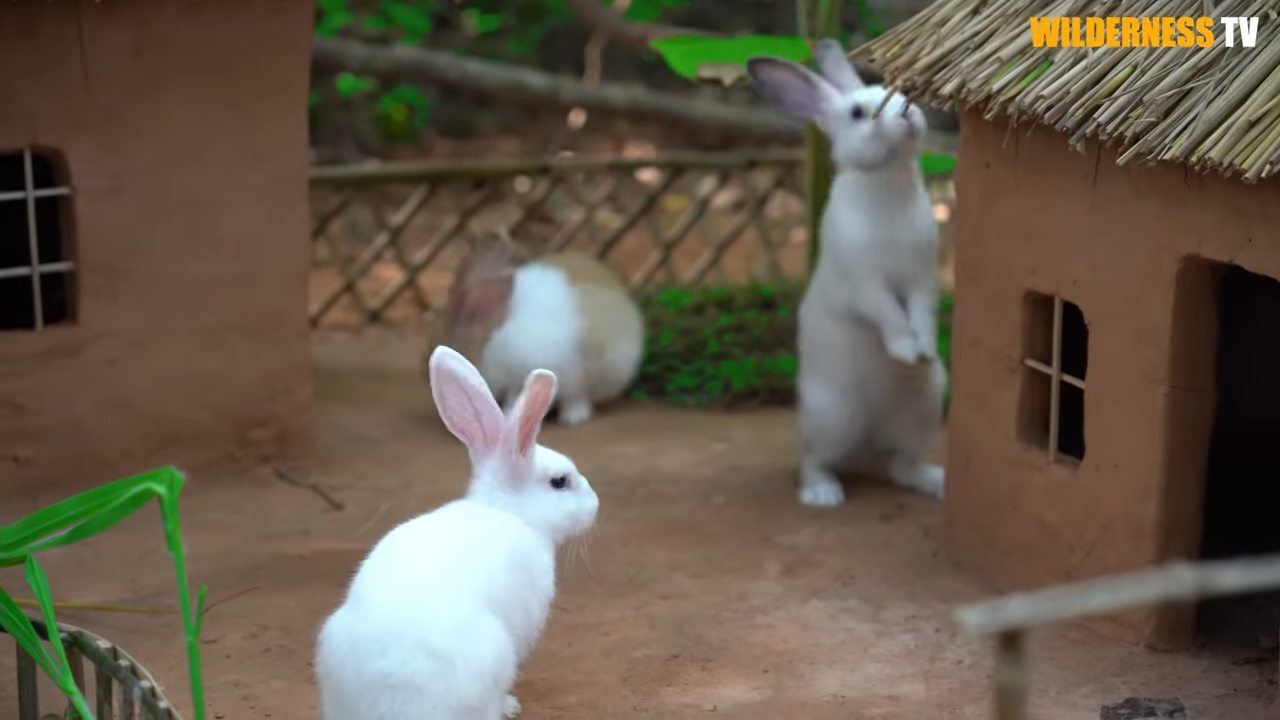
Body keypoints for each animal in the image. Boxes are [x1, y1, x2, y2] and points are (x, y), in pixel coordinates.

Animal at [746, 38, 946, 507]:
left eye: (895, 91)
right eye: (858, 113)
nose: (906, 110)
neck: (887, 182)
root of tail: (867, 449)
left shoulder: (923, 279)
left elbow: (922, 314)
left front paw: (925, 352)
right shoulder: (863, 286)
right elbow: (890, 315)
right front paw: (906, 353)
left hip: (924, 411)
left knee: (901, 466)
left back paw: (936, 481)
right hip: (830, 418)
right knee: (813, 462)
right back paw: (823, 495)